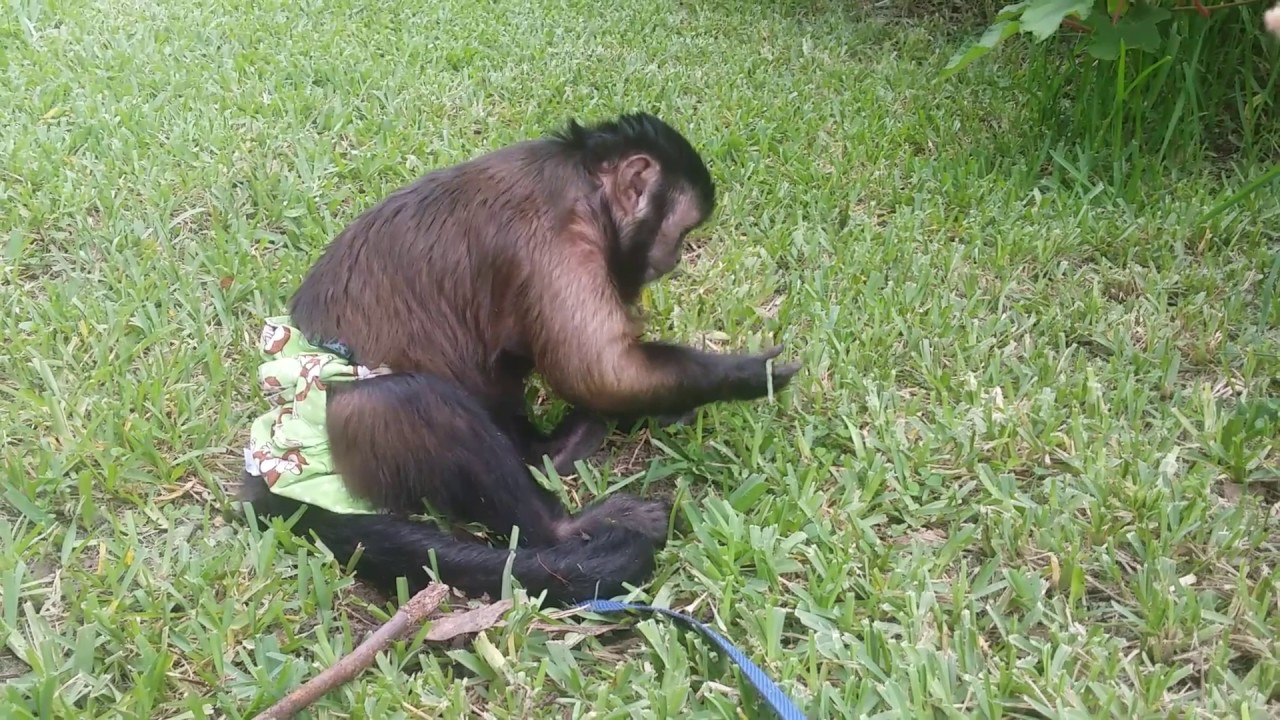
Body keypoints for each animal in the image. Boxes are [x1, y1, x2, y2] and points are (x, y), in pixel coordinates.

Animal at [238, 112, 801, 606]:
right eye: (681, 232)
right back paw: (567, 524)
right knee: (403, 399)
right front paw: (746, 375)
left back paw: (556, 447)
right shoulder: (561, 246)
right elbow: (600, 373)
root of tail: (269, 460)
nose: (677, 256)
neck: (583, 184)